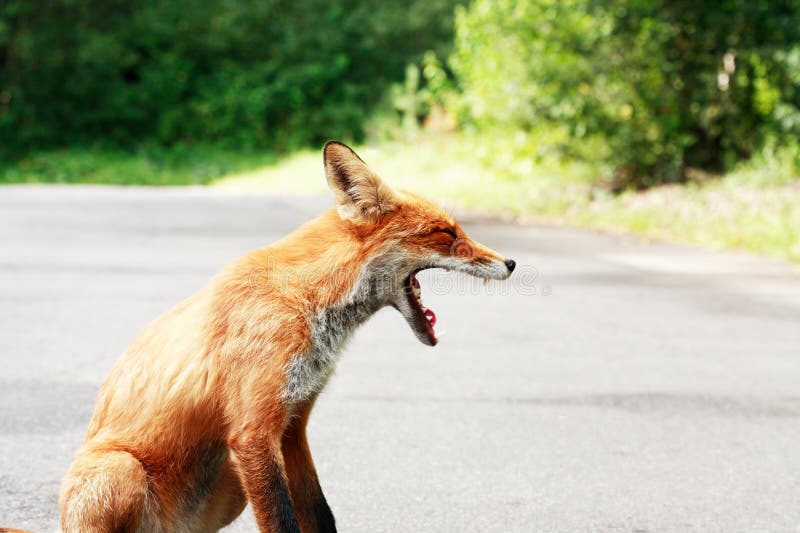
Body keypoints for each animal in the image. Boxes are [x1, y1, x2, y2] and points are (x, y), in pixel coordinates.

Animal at [57, 141, 516, 533]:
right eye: (447, 234)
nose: (512, 263)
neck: (307, 299)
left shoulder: (293, 425)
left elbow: (320, 514)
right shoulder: (254, 432)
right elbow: (281, 520)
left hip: (230, 483)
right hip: (123, 469)